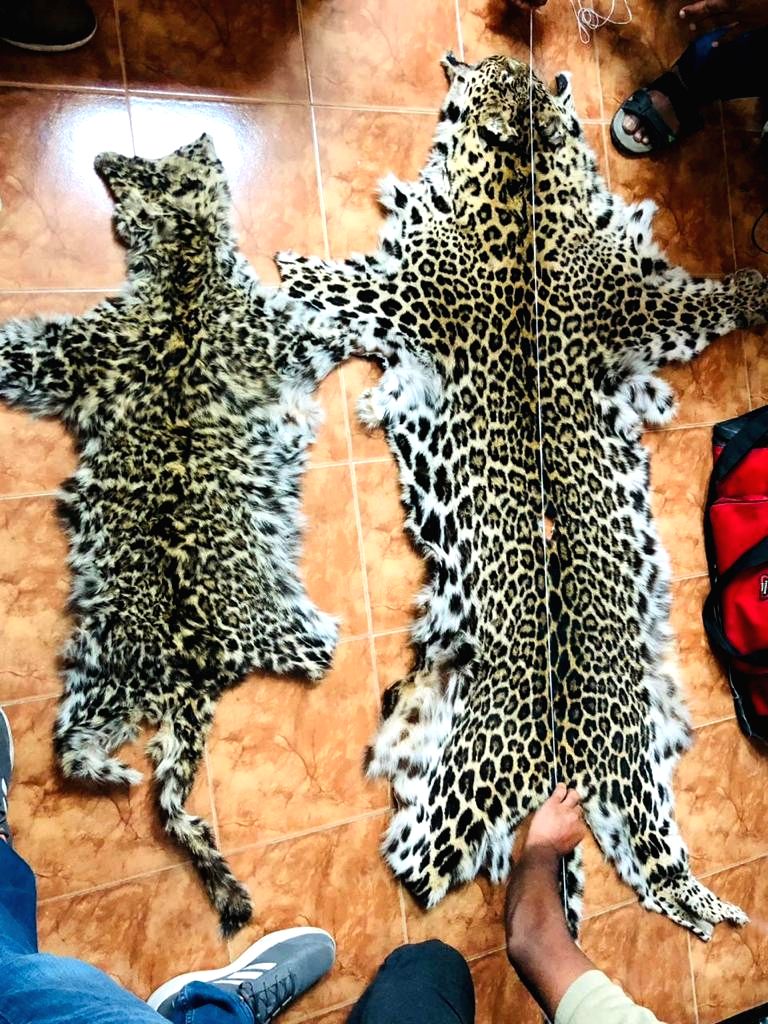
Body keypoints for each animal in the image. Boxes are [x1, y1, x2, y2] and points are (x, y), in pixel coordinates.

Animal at [0, 134, 351, 936]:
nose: (199, 140)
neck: (185, 256)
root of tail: (192, 666)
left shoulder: (72, 352)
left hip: (109, 680)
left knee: (96, 764)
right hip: (120, 676)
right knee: (97, 764)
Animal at [277, 54, 768, 940]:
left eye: (495, 72)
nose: (474, 58)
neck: (520, 186)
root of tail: (572, 763)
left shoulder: (422, 292)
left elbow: (354, 285)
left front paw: (295, 266)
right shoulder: (638, 310)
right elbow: (699, 301)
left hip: (479, 782)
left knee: (421, 866)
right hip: (625, 791)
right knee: (649, 868)